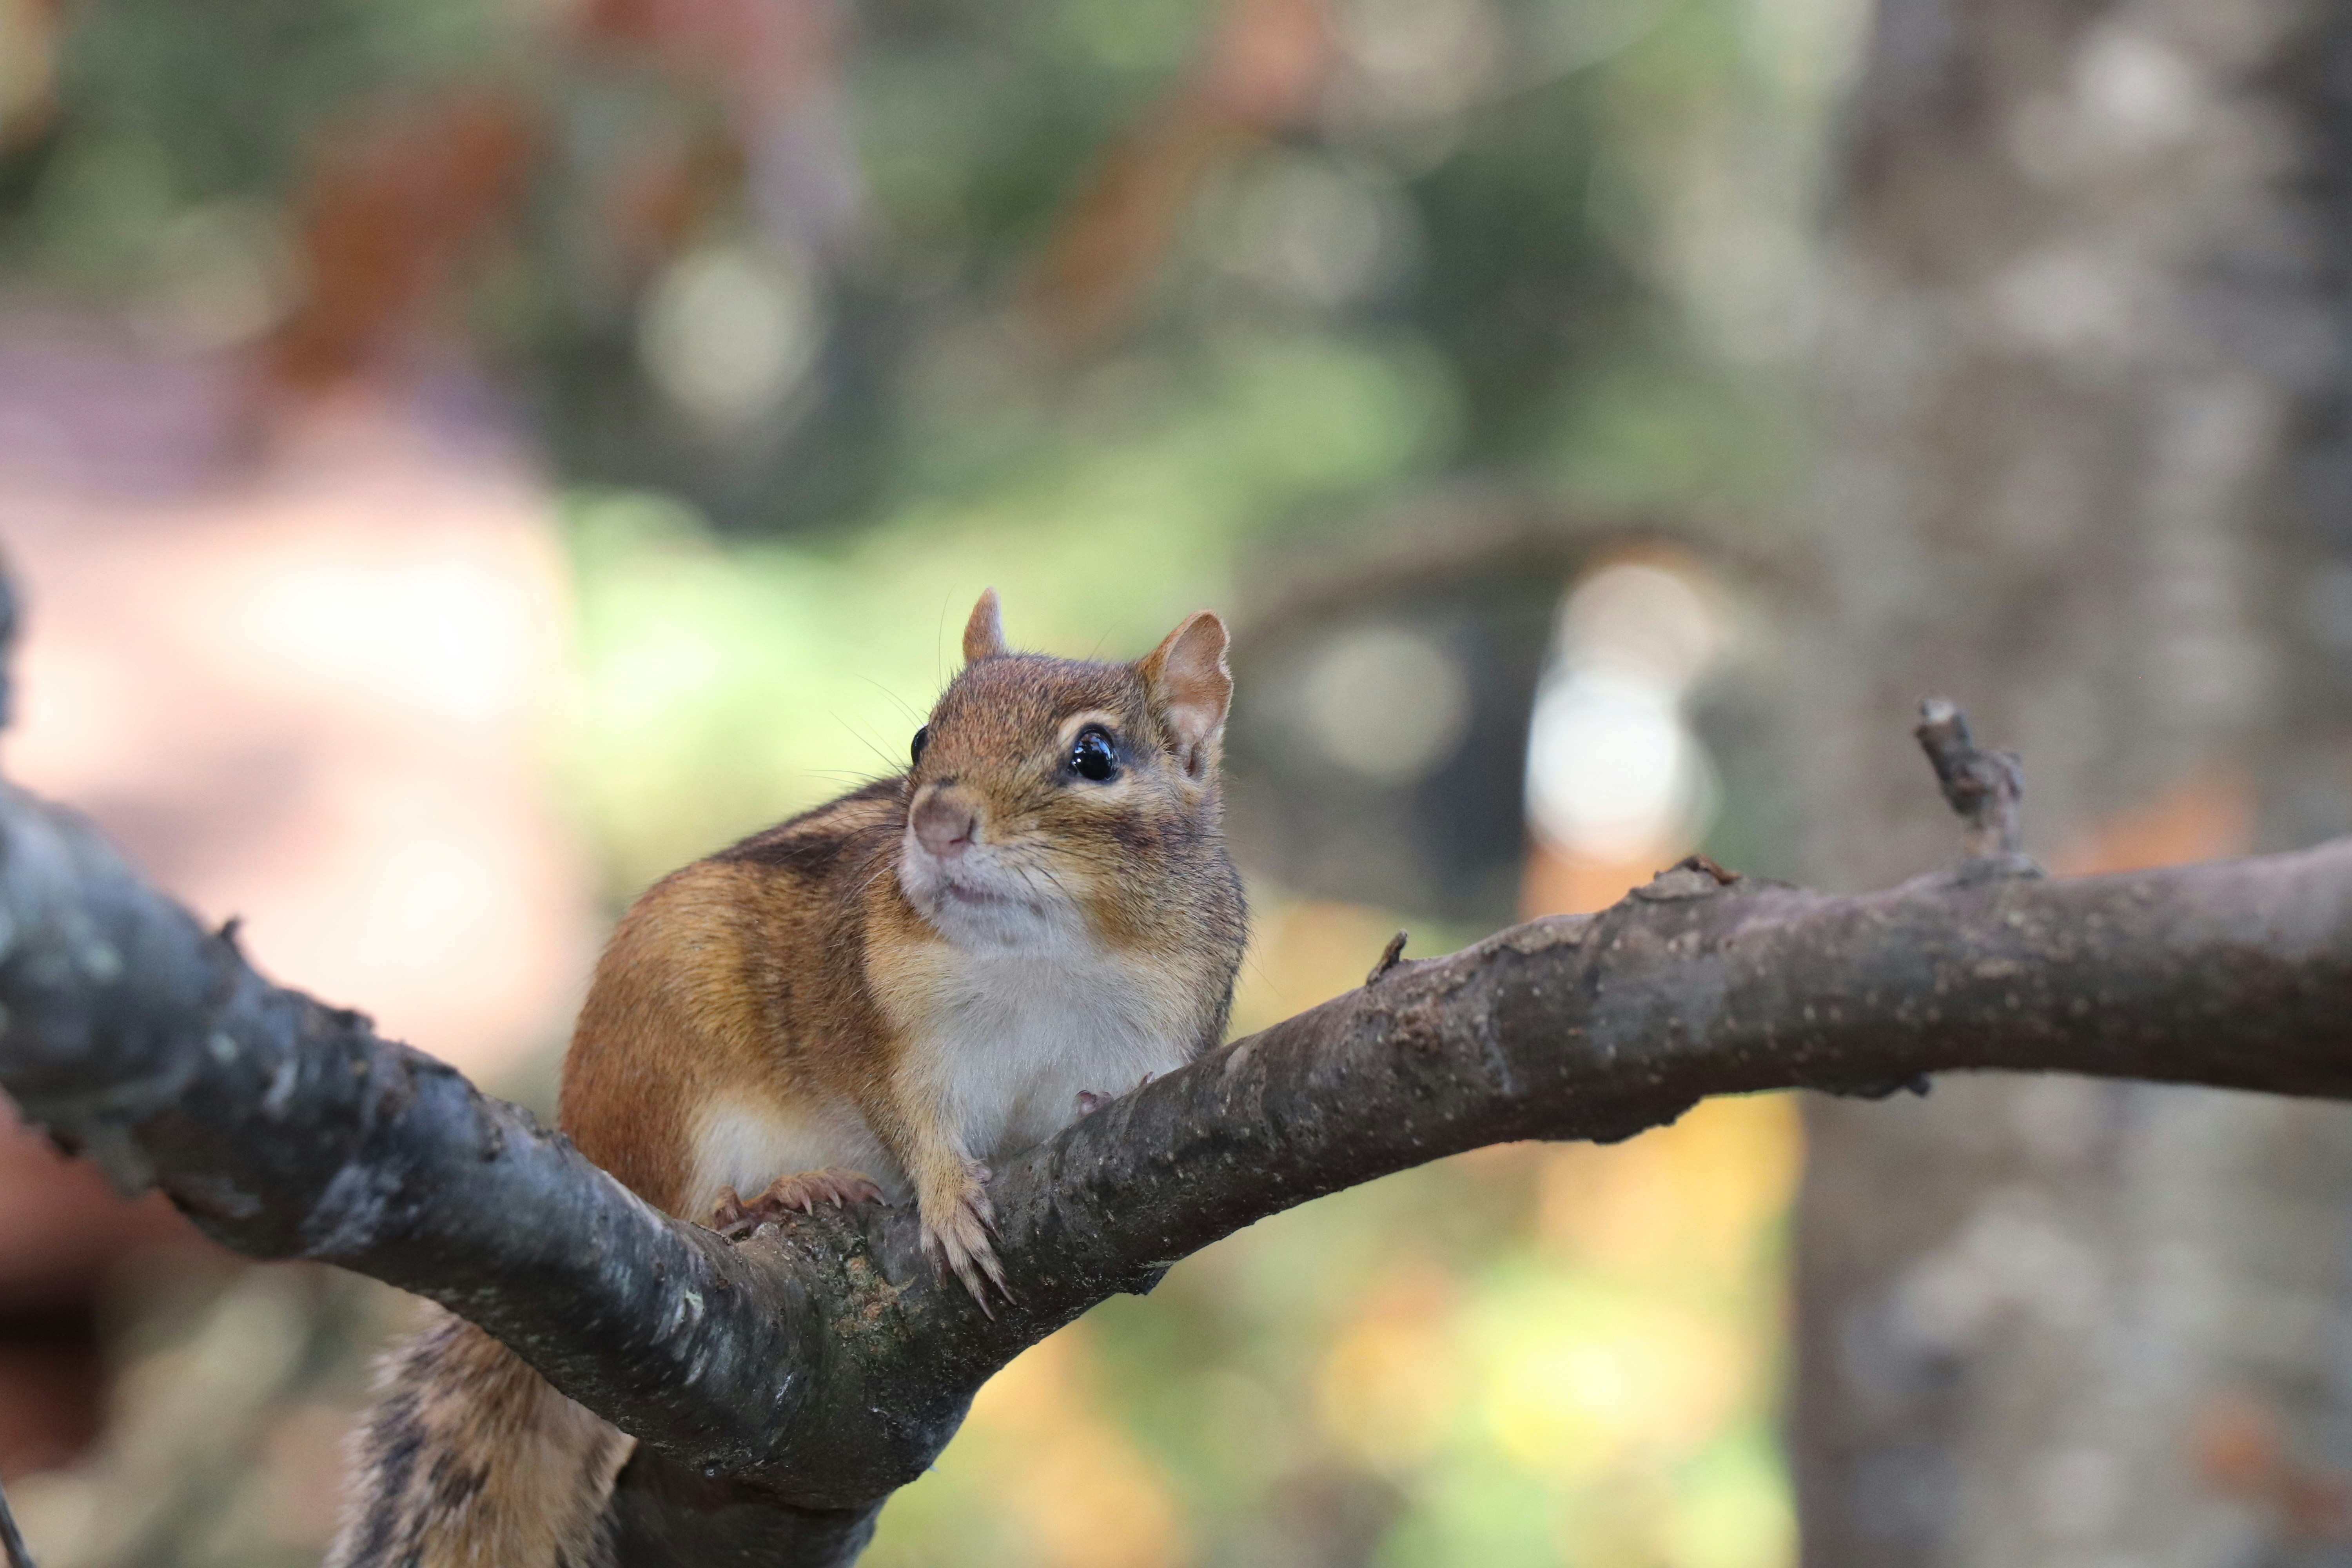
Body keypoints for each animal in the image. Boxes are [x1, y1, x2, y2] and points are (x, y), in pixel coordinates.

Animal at [326, 591, 1249, 1568]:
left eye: (1096, 756)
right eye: (924, 736)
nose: (936, 822)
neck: (1042, 957)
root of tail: (587, 1135)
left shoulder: (1170, 1019)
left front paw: (1101, 1107)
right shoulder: (885, 1030)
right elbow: (910, 1122)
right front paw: (948, 1195)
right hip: (670, 1078)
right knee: (690, 1210)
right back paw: (780, 1194)